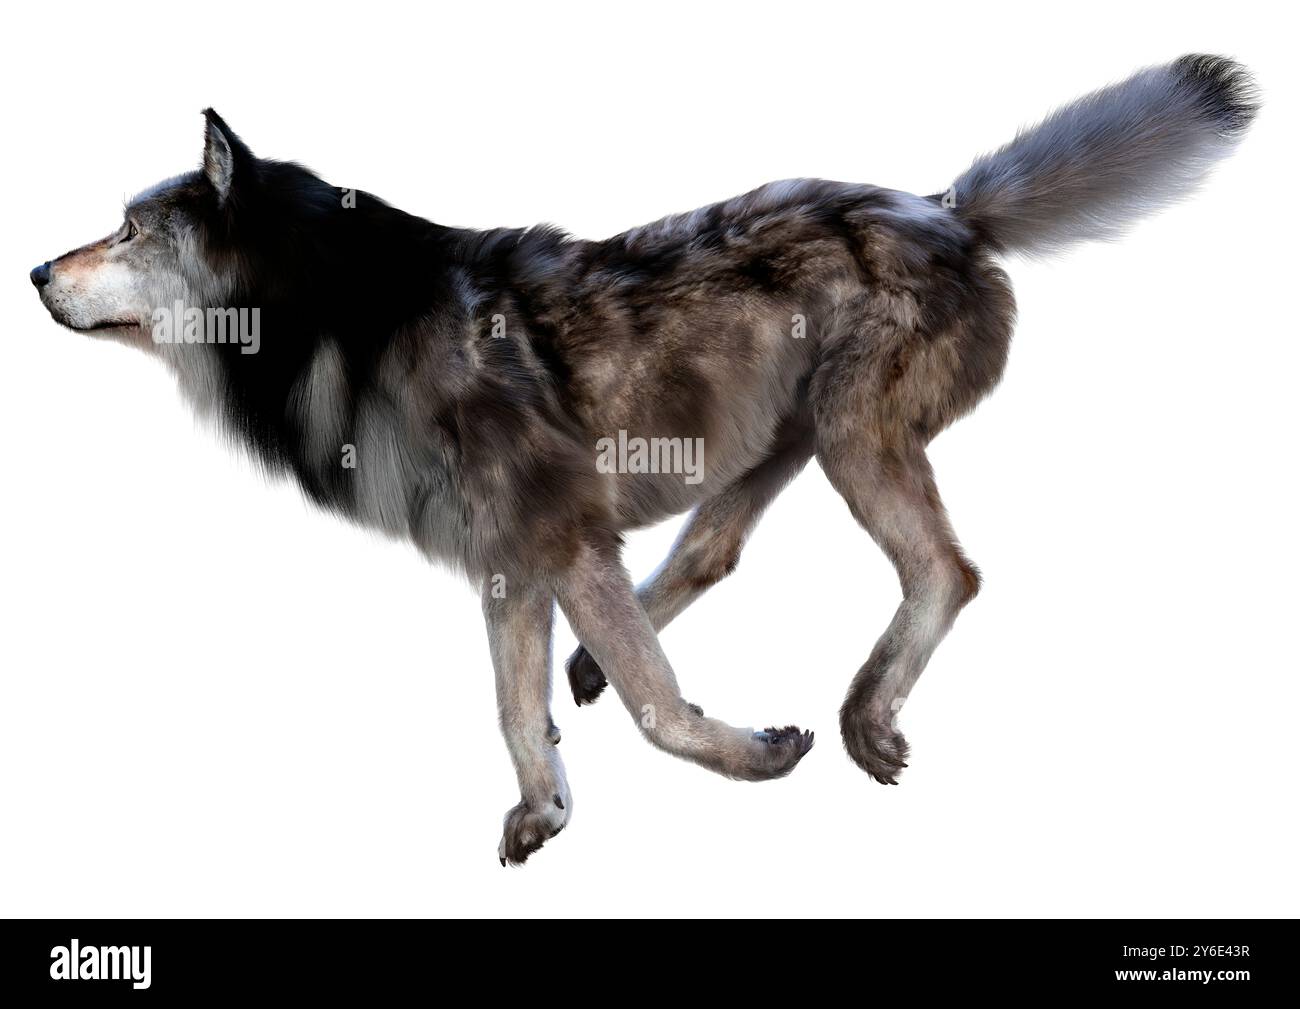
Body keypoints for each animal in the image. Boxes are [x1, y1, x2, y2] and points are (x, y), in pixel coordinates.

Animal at [32, 55, 1257, 864]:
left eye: (128, 232)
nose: (37, 269)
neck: (350, 324)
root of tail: (949, 210)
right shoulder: (516, 560)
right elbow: (516, 709)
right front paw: (545, 809)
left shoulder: (558, 540)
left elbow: (655, 708)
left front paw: (754, 758)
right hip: (777, 446)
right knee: (709, 555)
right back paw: (611, 665)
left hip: (851, 447)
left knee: (946, 573)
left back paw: (862, 719)